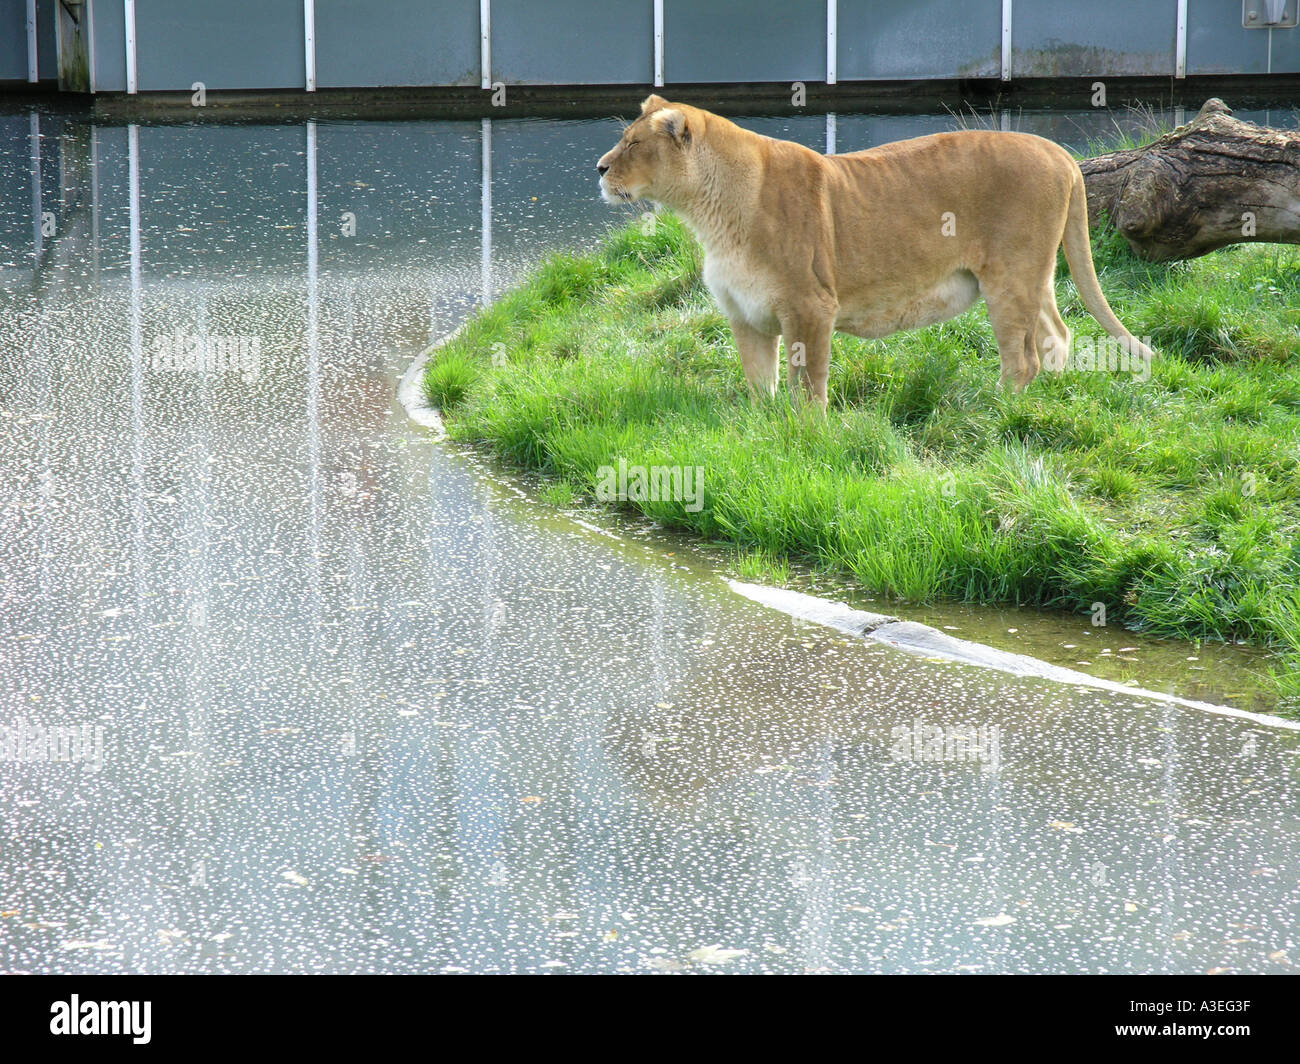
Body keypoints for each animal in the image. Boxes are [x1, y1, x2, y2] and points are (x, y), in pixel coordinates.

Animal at [597, 96, 1155, 410]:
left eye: (632, 144)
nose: (599, 168)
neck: (708, 214)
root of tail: (1057, 149)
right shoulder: (746, 316)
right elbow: (761, 385)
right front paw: (763, 430)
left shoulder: (810, 307)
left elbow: (808, 385)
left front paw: (807, 437)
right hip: (1029, 277)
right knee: (1056, 334)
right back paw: (1046, 400)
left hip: (1011, 278)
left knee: (1022, 359)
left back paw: (999, 412)